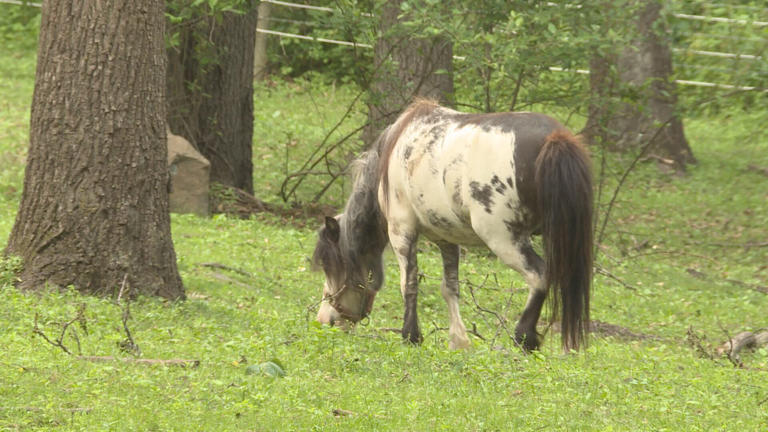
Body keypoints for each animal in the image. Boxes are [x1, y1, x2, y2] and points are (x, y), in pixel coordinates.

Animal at [312, 99, 593, 351]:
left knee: (539, 275)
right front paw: (459, 341)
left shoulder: (401, 231)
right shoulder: (446, 239)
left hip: (504, 239)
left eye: (332, 267)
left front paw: (411, 336)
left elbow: (409, 284)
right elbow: (450, 288)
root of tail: (555, 138)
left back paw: (524, 337)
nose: (325, 320)